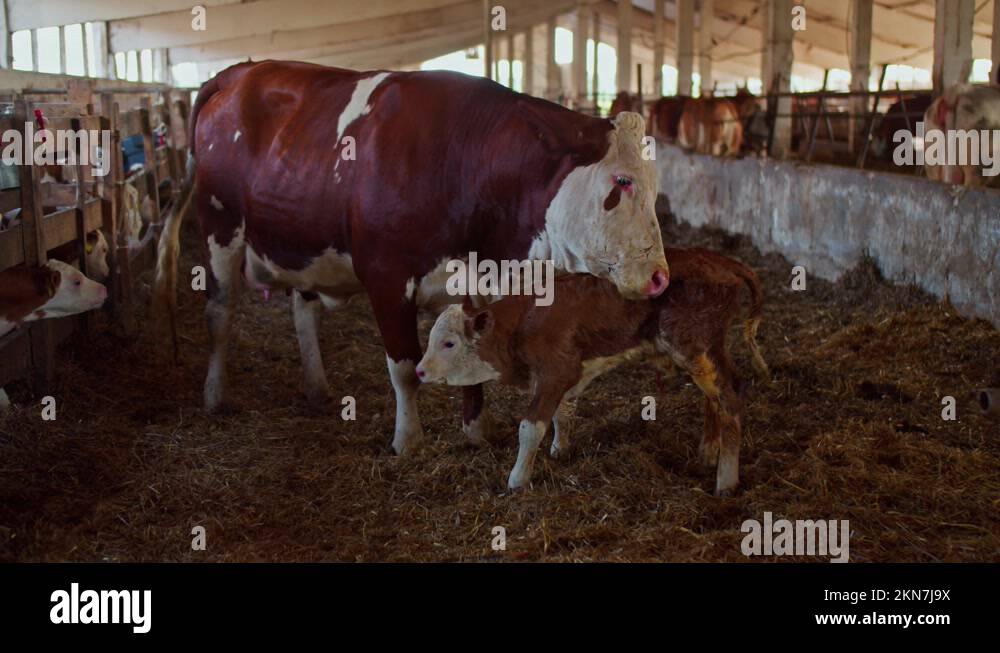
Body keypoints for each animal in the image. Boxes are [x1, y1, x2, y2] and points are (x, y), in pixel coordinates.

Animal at [154, 60, 671, 455]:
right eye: (622, 181)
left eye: (656, 186)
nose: (660, 277)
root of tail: (238, 72)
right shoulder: (387, 278)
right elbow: (403, 369)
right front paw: (408, 440)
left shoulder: (473, 287)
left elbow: (468, 359)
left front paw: (476, 432)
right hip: (220, 225)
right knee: (220, 312)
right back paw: (215, 394)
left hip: (298, 235)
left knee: (303, 310)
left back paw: (317, 386)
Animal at [416, 247, 769, 496]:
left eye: (448, 343)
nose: (419, 371)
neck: (523, 321)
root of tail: (720, 261)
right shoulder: (566, 375)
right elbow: (562, 413)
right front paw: (560, 450)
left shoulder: (555, 371)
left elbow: (530, 427)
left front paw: (517, 480)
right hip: (705, 352)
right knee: (713, 397)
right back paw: (707, 453)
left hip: (694, 344)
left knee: (730, 394)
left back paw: (726, 482)